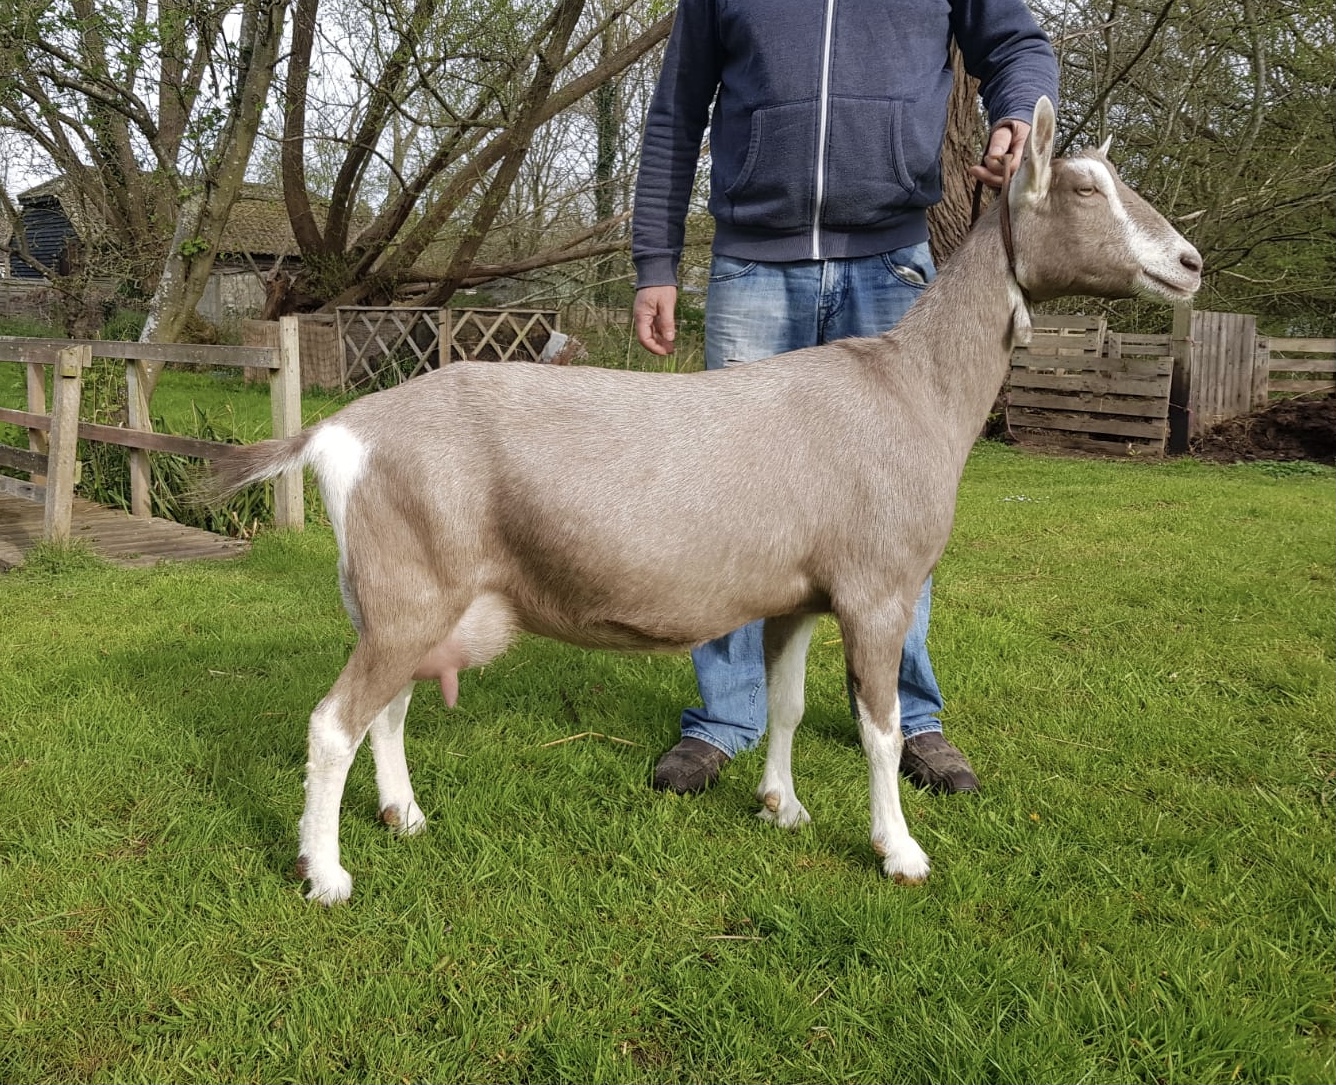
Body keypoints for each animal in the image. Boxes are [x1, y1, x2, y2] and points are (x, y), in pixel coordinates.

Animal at [207, 98, 1201, 904]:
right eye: (1084, 188)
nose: (1190, 263)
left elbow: (789, 705)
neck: (910, 387)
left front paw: (782, 806)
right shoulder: (877, 590)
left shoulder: (798, 597)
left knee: (388, 708)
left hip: (410, 599)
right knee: (334, 721)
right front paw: (900, 853)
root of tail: (343, 431)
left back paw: (404, 816)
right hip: (411, 587)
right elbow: (878, 728)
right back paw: (326, 874)